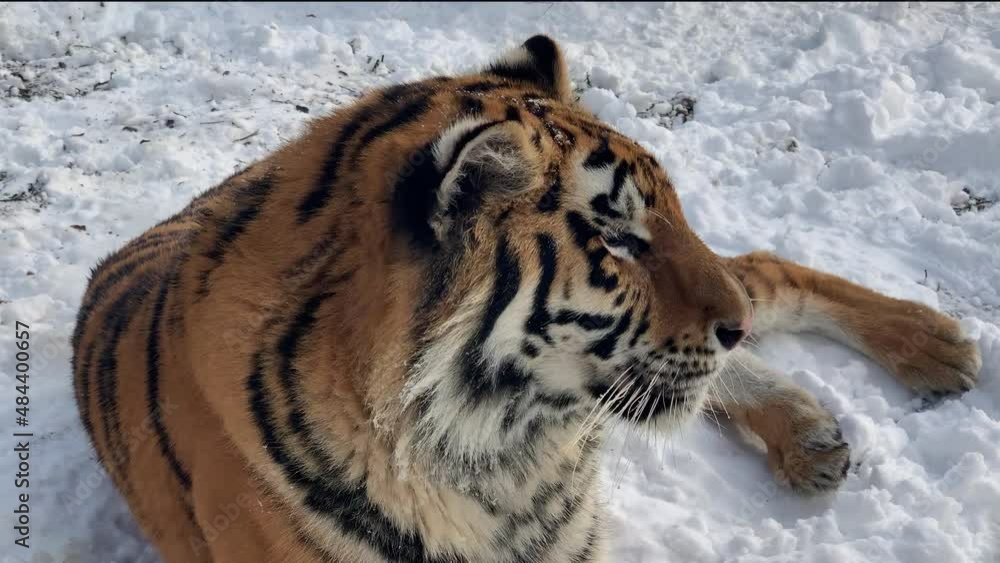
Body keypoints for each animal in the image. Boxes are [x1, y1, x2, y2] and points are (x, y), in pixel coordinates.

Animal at [71, 35, 982, 563]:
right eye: (618, 239)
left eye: (669, 214)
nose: (733, 326)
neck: (500, 460)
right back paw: (810, 428)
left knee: (766, 270)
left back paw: (939, 344)